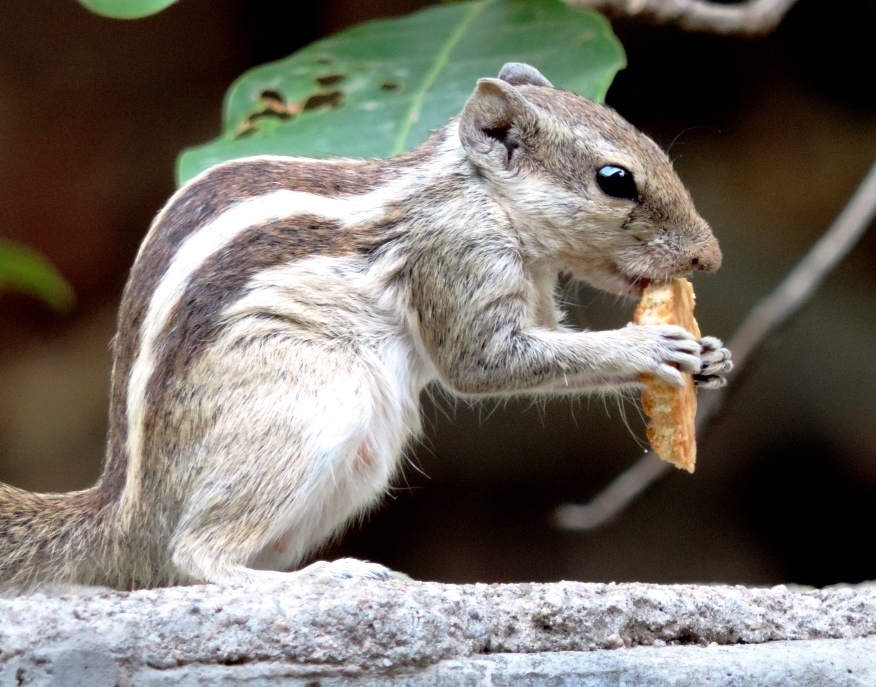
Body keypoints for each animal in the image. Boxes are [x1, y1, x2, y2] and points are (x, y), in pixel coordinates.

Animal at [0, 63, 731, 591]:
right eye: (615, 179)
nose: (710, 257)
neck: (477, 193)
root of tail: (125, 512)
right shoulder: (457, 258)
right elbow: (488, 361)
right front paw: (647, 342)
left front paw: (714, 356)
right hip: (306, 406)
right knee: (192, 555)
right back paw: (311, 580)